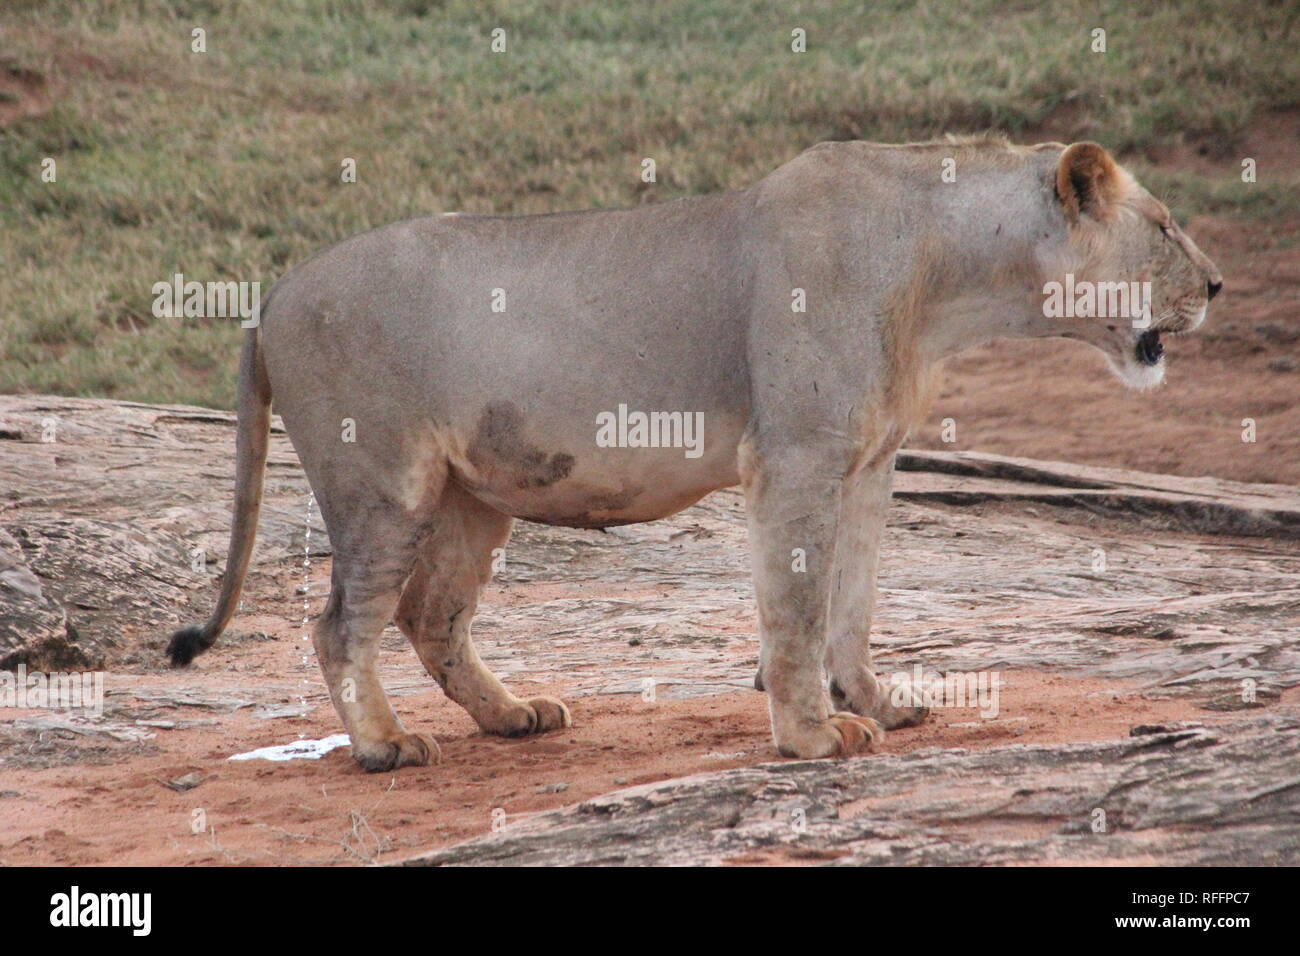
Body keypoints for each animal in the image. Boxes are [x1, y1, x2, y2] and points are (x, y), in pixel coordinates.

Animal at [168, 137, 1222, 772]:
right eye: (1167, 226)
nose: (1215, 284)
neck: (949, 279)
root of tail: (273, 294)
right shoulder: (795, 460)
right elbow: (797, 608)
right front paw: (812, 734)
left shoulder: (867, 466)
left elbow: (853, 601)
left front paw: (881, 702)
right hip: (381, 484)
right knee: (340, 625)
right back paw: (387, 747)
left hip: (476, 496)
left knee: (433, 617)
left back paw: (512, 716)